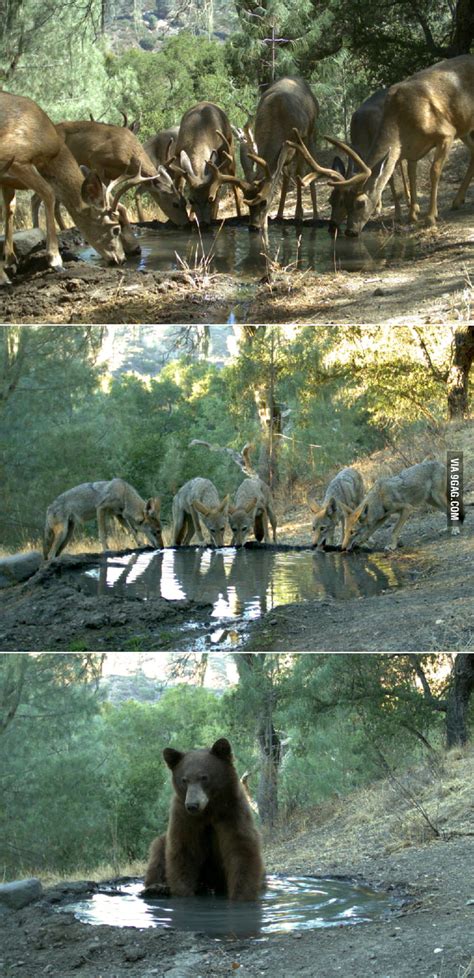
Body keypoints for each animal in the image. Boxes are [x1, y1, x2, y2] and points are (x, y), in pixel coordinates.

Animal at [144, 738, 265, 901]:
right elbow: (183, 852)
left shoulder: (232, 813)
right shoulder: (184, 818)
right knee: (158, 851)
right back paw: (156, 887)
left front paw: (241, 895)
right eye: (184, 780)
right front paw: (184, 893)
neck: (208, 811)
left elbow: (241, 850)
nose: (192, 805)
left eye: (204, 777)